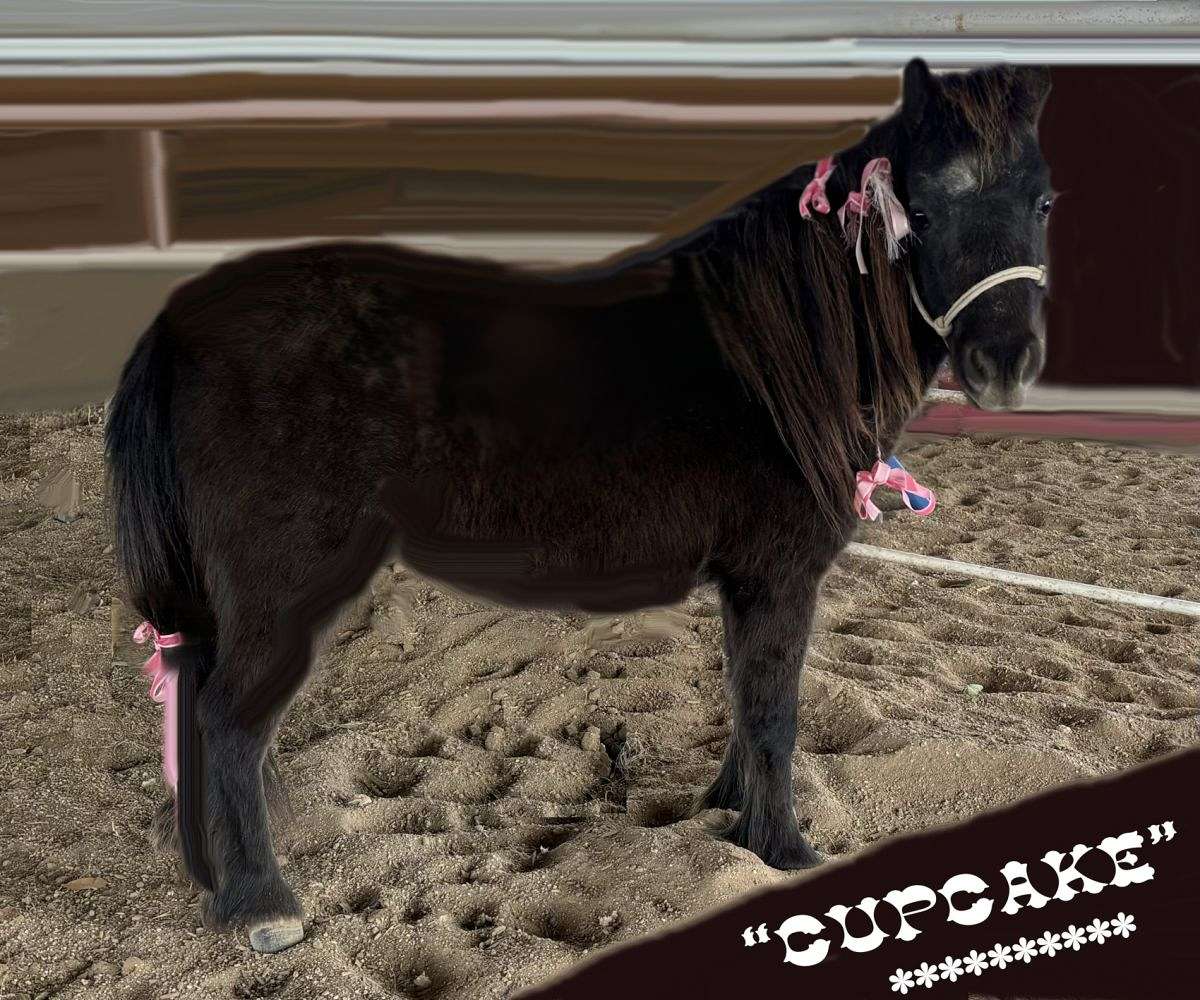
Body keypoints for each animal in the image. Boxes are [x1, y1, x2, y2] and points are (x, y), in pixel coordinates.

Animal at [104, 59, 1053, 952]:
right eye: (920, 209)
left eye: (1043, 199)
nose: (1004, 362)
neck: (774, 355)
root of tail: (180, 323)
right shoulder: (780, 575)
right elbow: (775, 713)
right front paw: (783, 849)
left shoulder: (747, 583)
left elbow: (744, 694)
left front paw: (729, 813)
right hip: (283, 589)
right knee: (229, 722)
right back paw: (263, 904)